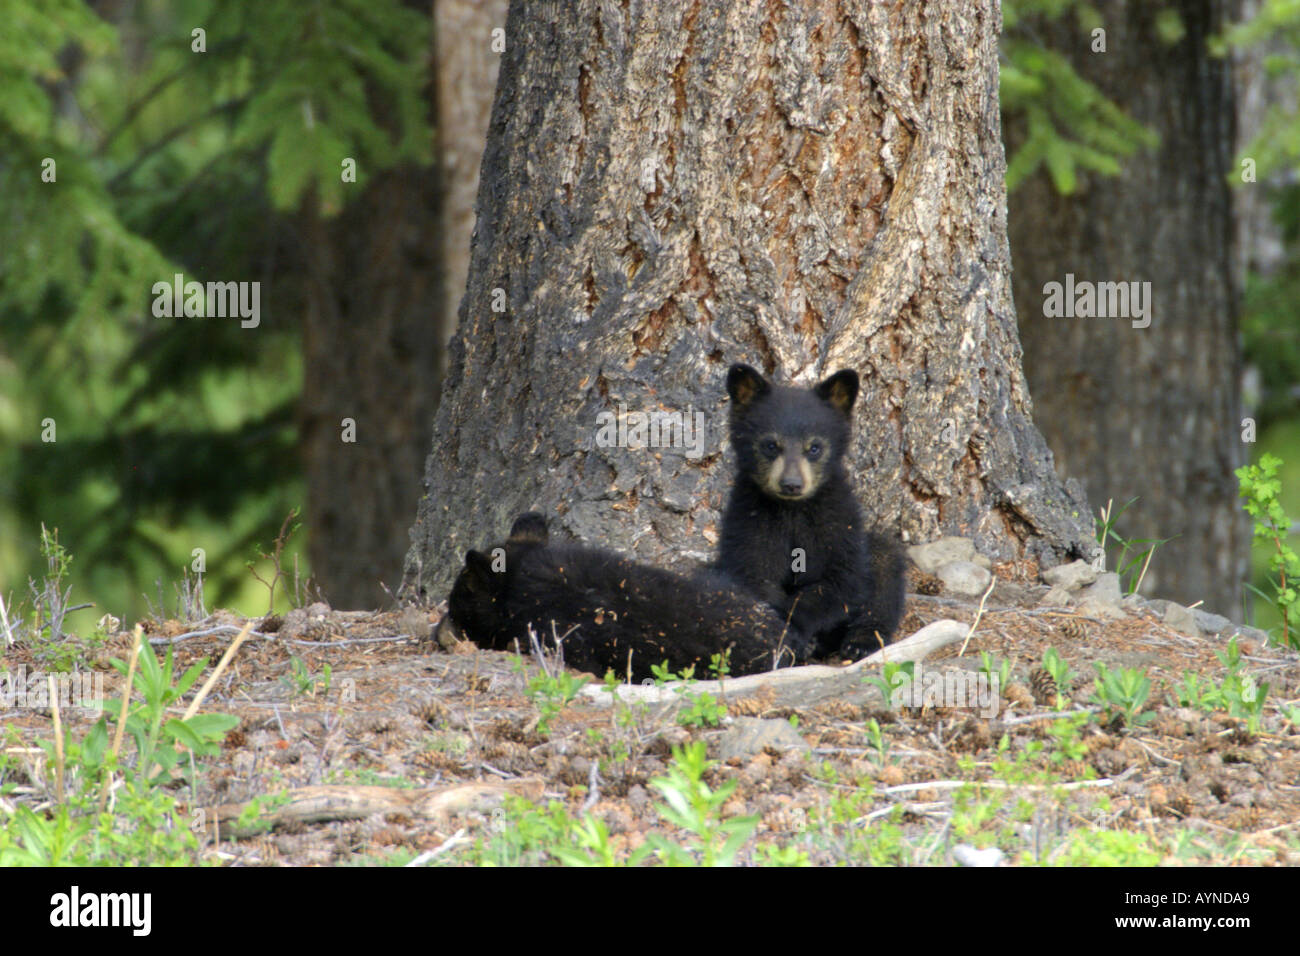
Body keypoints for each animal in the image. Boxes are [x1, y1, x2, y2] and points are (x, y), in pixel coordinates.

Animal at [715, 363, 907, 661]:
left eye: (814, 447)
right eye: (771, 445)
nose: (791, 484)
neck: (792, 510)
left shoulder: (837, 524)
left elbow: (840, 582)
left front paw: (794, 629)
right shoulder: (750, 520)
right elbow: (755, 575)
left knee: (885, 568)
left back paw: (861, 640)